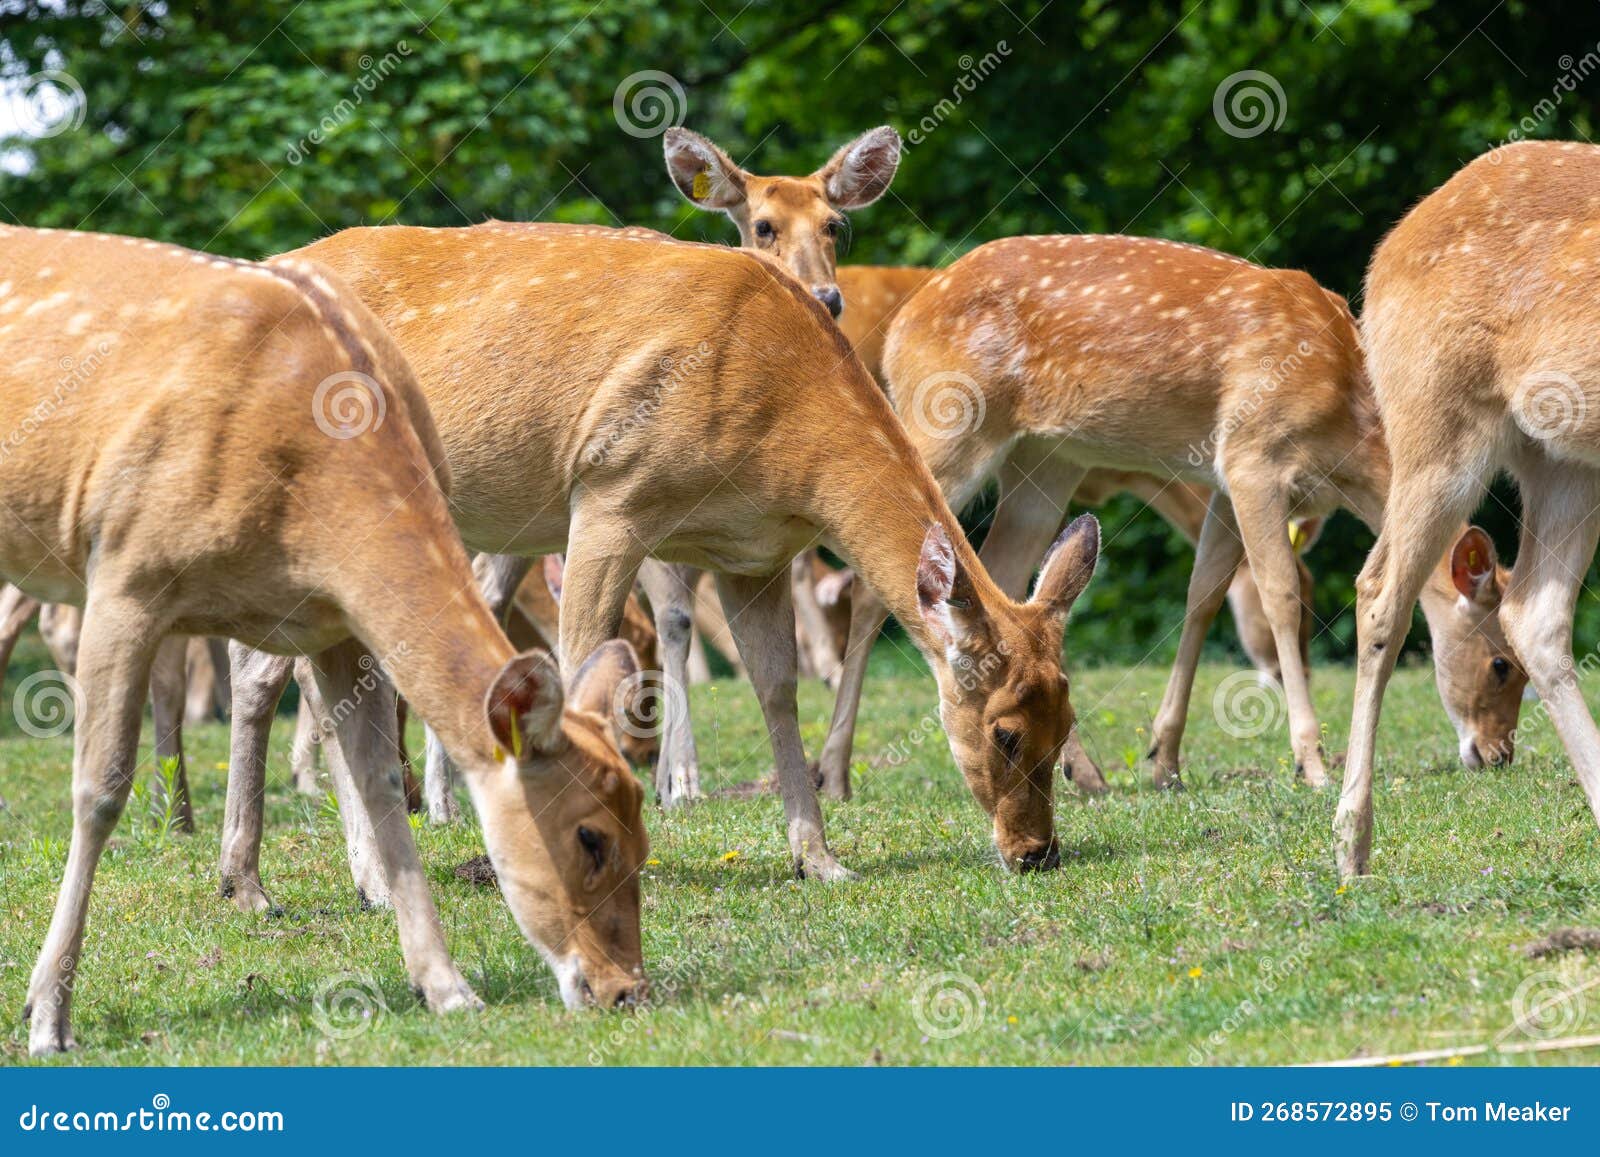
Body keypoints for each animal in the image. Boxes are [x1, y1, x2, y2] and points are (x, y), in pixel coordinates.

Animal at [3, 224, 649, 1055]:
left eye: (645, 834)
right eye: (589, 836)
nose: (625, 989)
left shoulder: (333, 619)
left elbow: (379, 781)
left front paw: (447, 986)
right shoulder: (123, 571)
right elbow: (99, 787)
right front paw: (47, 1016)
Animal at [215, 221, 1099, 896]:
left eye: (1068, 721)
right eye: (1005, 732)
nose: (1037, 852)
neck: (791, 452)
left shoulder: (753, 554)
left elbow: (776, 691)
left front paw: (819, 858)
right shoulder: (609, 491)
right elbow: (578, 665)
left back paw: (333, 877)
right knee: (269, 669)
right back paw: (259, 881)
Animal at [813, 233, 1524, 803]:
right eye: (1501, 663)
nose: (1499, 755)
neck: (1348, 426)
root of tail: (900, 329)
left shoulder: (1224, 481)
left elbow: (1203, 595)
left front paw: (1164, 761)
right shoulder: (1253, 455)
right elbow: (1279, 595)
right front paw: (1313, 764)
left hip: (1047, 462)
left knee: (1007, 586)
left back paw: (1085, 774)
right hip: (945, 425)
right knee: (878, 583)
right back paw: (835, 775)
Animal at [1339, 139, 1600, 878]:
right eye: (1495, 667)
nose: (1497, 755)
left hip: (1565, 458)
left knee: (1536, 611)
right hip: (1437, 422)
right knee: (1379, 592)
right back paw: (1351, 846)